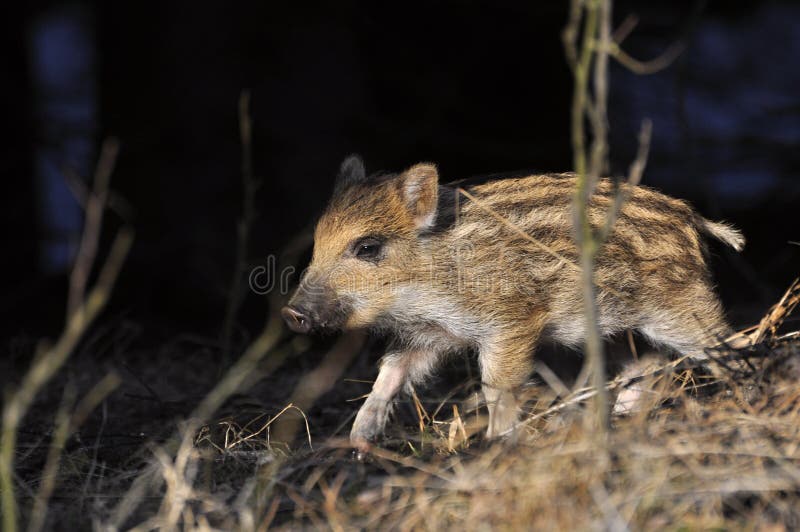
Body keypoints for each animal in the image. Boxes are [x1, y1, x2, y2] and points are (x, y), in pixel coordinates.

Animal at [281, 155, 744, 450]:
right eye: (318, 242)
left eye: (368, 247)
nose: (291, 313)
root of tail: (692, 219)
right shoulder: (430, 336)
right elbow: (389, 376)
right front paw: (357, 443)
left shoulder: (511, 322)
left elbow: (496, 387)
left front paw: (499, 442)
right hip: (620, 324)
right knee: (643, 362)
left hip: (681, 307)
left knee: (725, 345)